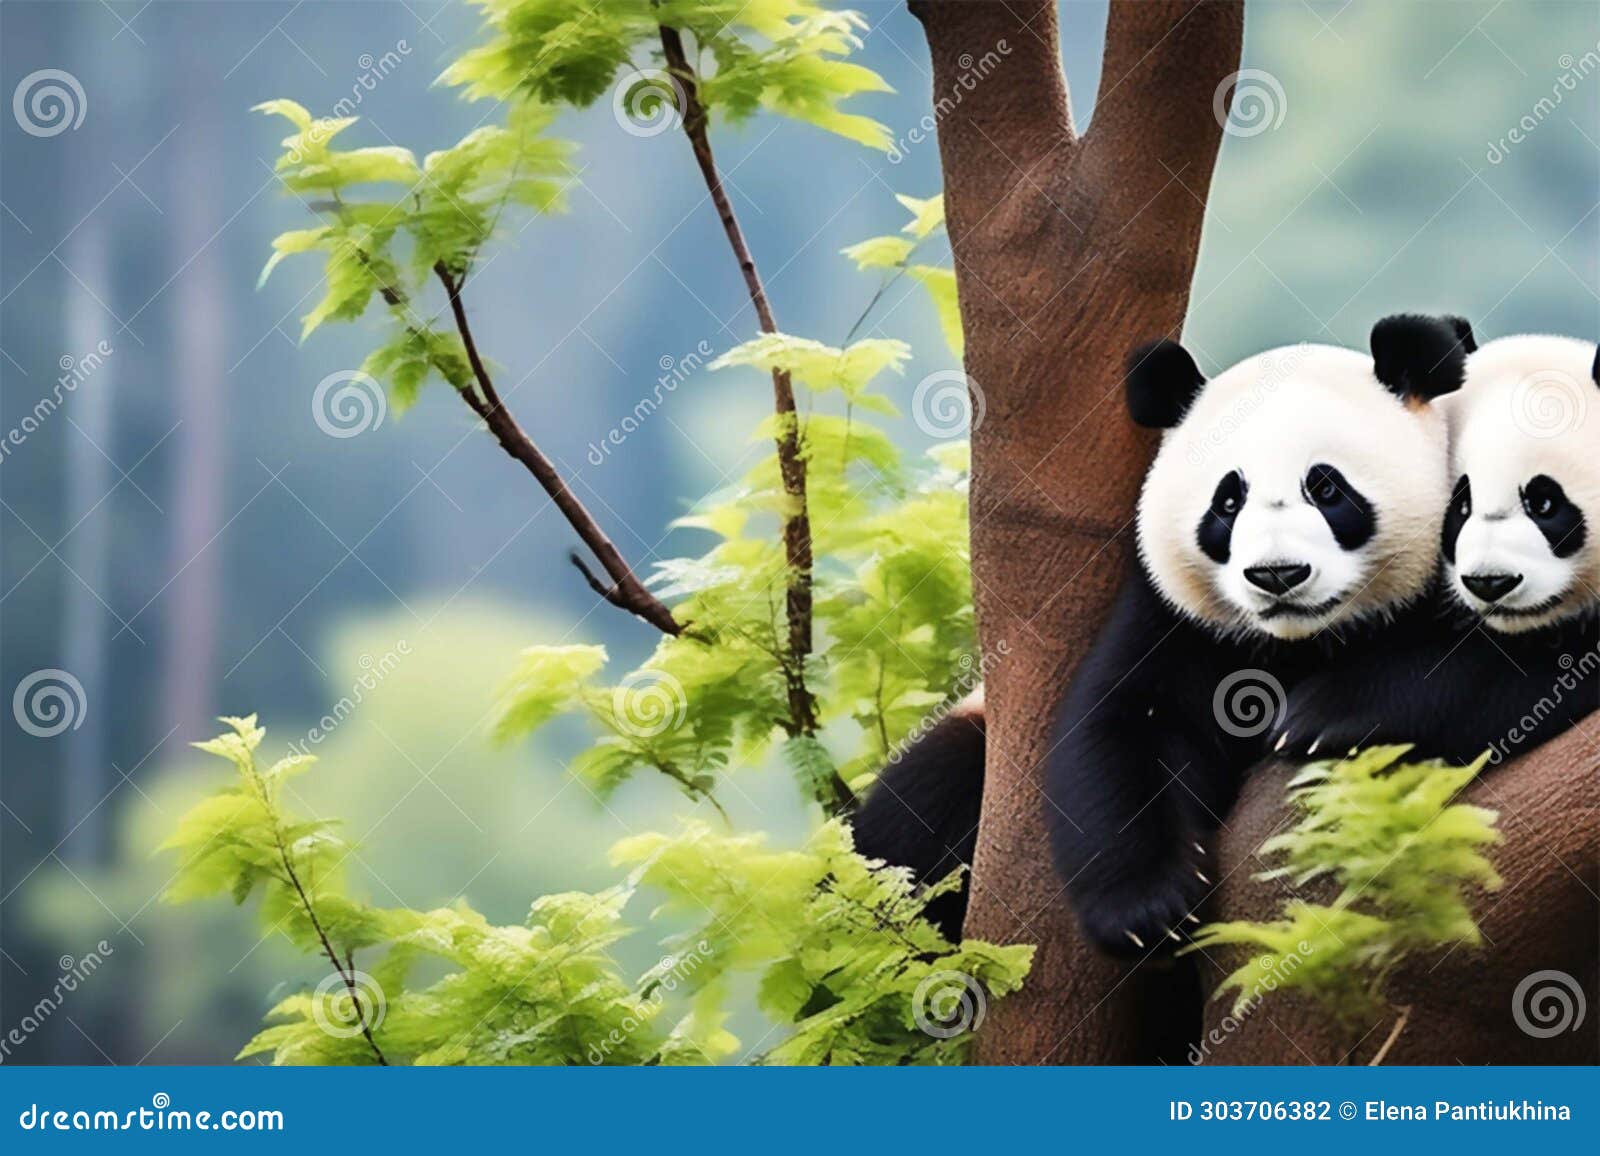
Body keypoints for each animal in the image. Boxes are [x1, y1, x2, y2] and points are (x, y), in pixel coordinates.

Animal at [851, 315, 1475, 950]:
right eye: (1228, 501)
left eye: (1327, 490)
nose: (1277, 574)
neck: (1298, 642)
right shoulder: (1173, 615)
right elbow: (1123, 726)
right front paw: (1147, 908)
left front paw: (1323, 715)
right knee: (917, 814)